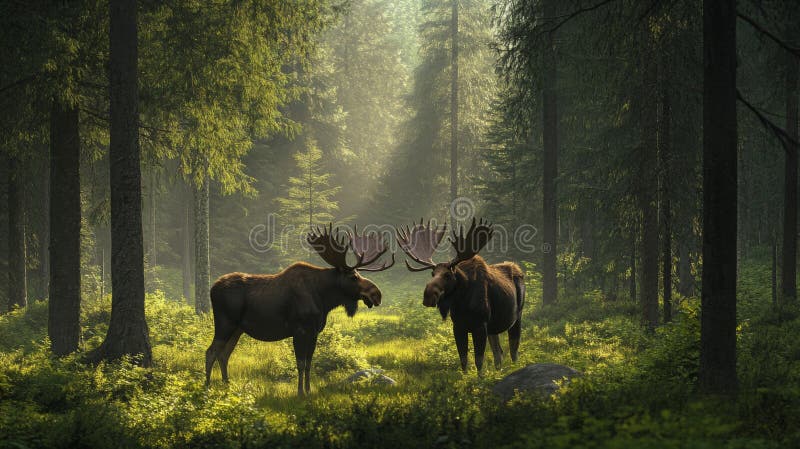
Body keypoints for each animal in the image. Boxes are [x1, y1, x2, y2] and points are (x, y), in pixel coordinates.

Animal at [205, 224, 394, 396]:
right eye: (354, 277)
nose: (377, 294)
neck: (324, 298)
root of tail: (212, 288)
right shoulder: (300, 330)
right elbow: (301, 363)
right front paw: (300, 393)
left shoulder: (314, 331)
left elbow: (309, 363)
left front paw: (309, 391)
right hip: (225, 323)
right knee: (211, 352)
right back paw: (207, 388)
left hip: (238, 329)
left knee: (224, 355)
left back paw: (227, 386)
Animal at [396, 218, 525, 373]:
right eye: (432, 273)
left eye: (447, 275)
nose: (428, 296)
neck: (462, 303)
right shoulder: (458, 327)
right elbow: (463, 360)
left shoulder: (480, 326)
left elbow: (478, 360)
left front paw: (480, 378)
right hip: (493, 328)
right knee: (498, 352)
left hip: (517, 317)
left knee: (513, 349)